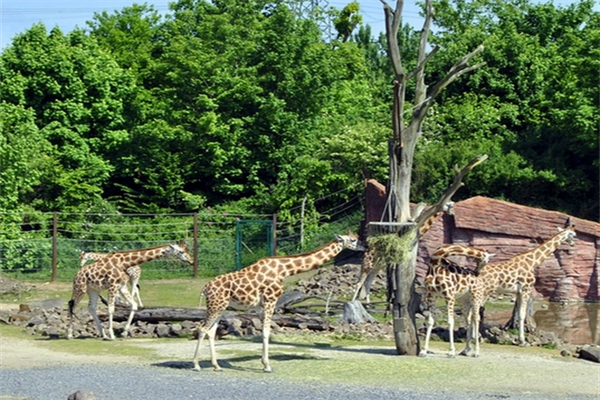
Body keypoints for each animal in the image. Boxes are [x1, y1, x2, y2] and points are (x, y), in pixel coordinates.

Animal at [192, 231, 364, 372]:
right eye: (353, 240)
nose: (363, 247)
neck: (284, 271)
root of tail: (205, 288)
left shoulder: (265, 303)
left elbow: (265, 330)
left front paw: (265, 364)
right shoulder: (271, 299)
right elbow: (266, 331)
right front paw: (267, 366)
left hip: (221, 306)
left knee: (211, 331)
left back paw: (216, 366)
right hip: (216, 305)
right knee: (202, 328)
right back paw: (196, 365)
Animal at [460, 223, 576, 358]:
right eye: (573, 235)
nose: (573, 244)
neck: (533, 262)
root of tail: (475, 271)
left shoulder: (518, 292)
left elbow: (520, 314)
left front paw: (521, 340)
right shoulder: (526, 289)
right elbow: (522, 314)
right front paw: (523, 341)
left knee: (470, 312)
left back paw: (473, 338)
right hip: (485, 291)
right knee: (477, 311)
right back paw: (476, 337)